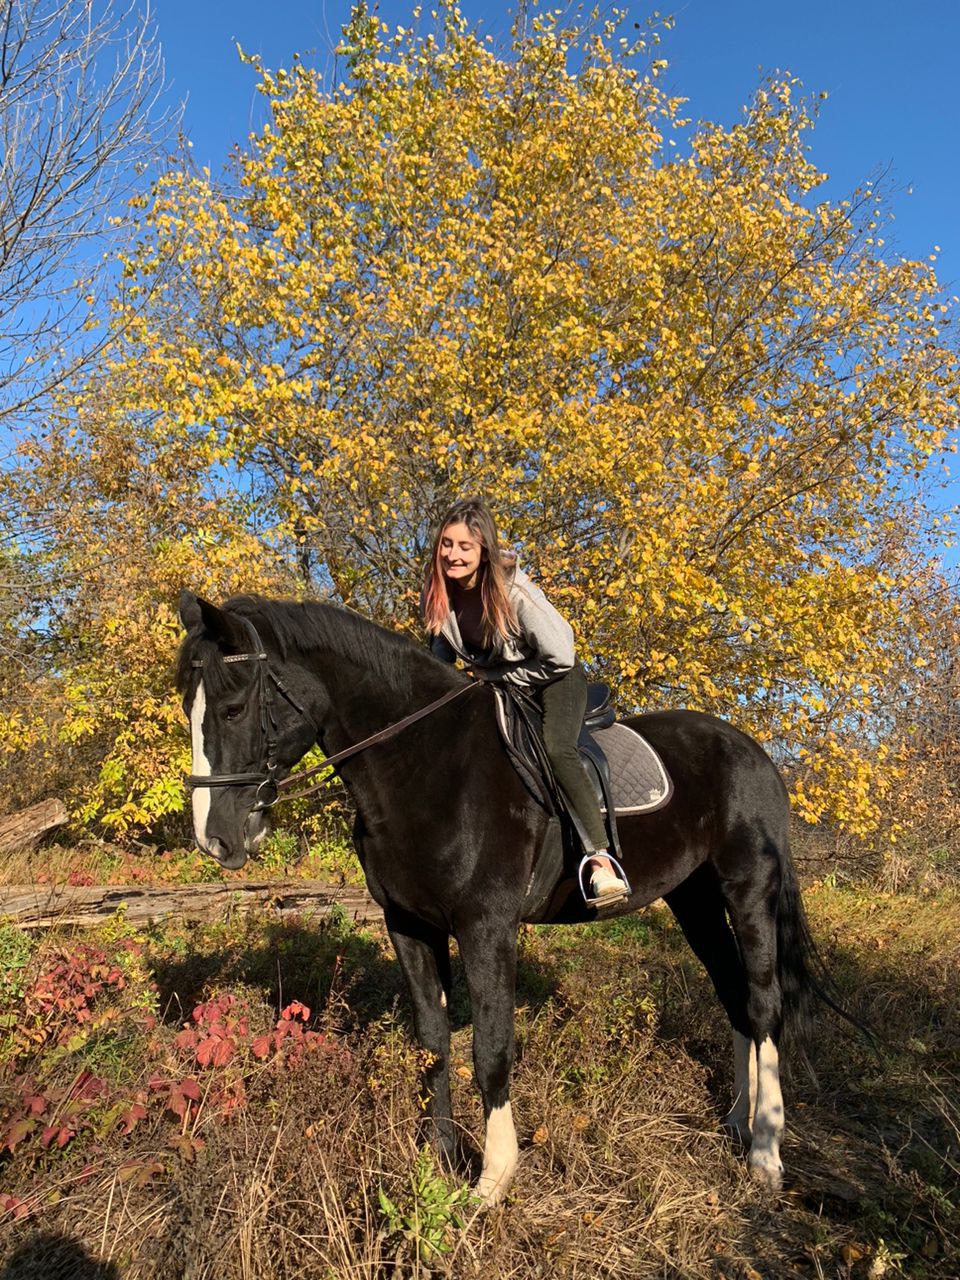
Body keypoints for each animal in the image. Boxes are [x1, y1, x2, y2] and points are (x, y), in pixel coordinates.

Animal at [176, 588, 839, 1198]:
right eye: (190, 704)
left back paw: (765, 1152)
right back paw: (736, 1122)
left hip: (747, 890)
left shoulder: (486, 927)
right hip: (694, 900)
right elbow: (433, 1042)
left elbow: (491, 1050)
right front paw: (439, 1157)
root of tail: (754, 752)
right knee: (734, 996)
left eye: (233, 708)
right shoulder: (409, 926)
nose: (215, 839)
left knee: (763, 1004)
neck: (426, 765)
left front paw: (492, 1180)